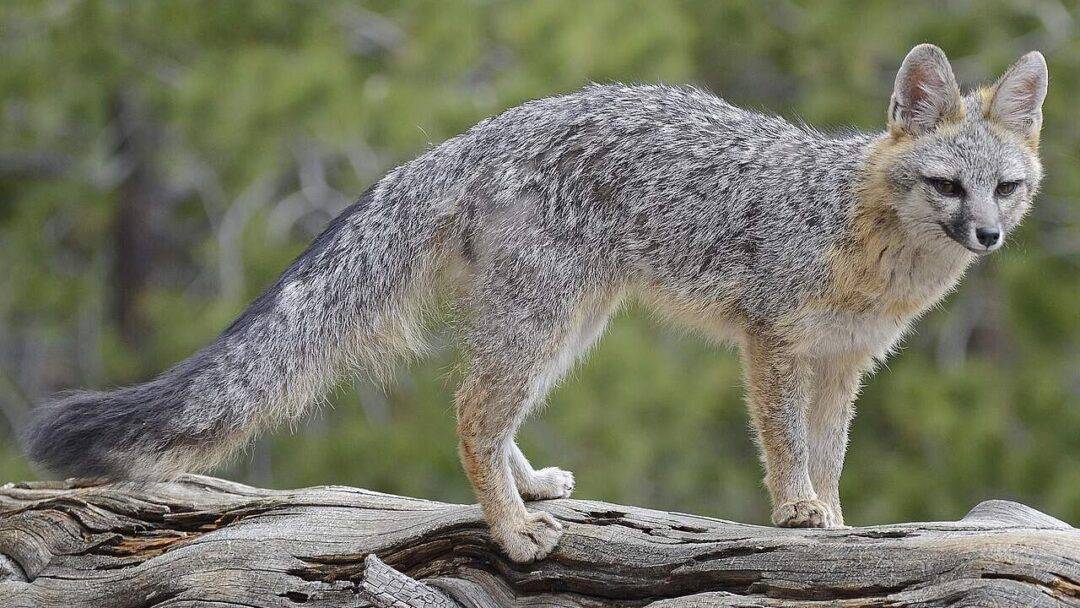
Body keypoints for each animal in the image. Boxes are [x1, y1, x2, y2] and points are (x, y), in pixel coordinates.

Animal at [23, 44, 1047, 562]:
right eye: (948, 185)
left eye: (1008, 189)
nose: (988, 238)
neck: (860, 232)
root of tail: (475, 133)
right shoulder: (773, 343)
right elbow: (788, 446)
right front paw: (797, 514)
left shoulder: (844, 363)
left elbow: (831, 456)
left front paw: (835, 521)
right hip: (548, 321)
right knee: (471, 413)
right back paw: (512, 532)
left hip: (569, 326)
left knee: (491, 411)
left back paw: (528, 491)